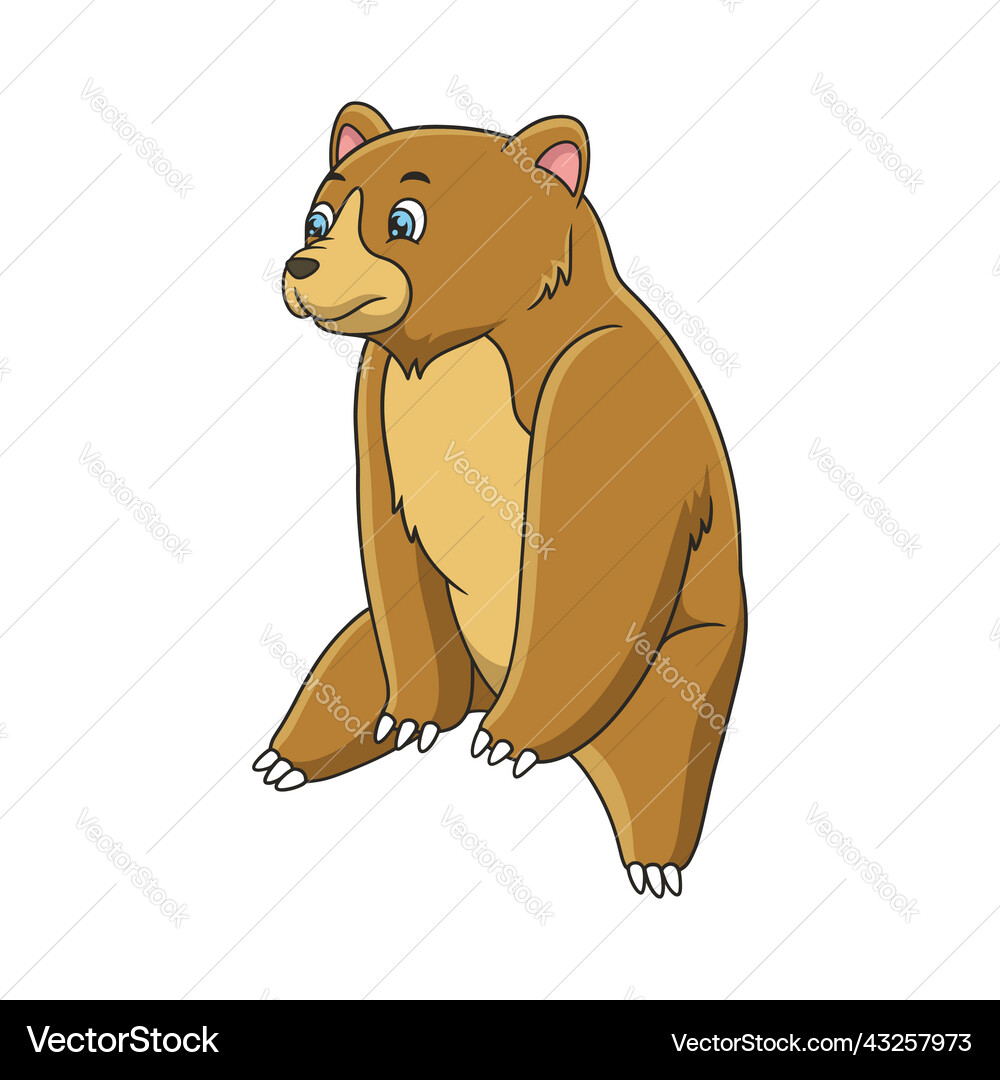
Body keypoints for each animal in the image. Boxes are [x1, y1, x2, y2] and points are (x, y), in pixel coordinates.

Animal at [252, 102, 747, 898]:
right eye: (319, 218)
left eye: (404, 220)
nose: (301, 266)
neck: (461, 349)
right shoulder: (379, 398)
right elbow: (393, 550)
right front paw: (412, 720)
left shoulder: (598, 388)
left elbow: (588, 566)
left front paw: (512, 739)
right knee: (354, 658)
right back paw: (293, 754)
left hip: (684, 657)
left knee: (662, 751)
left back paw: (649, 857)